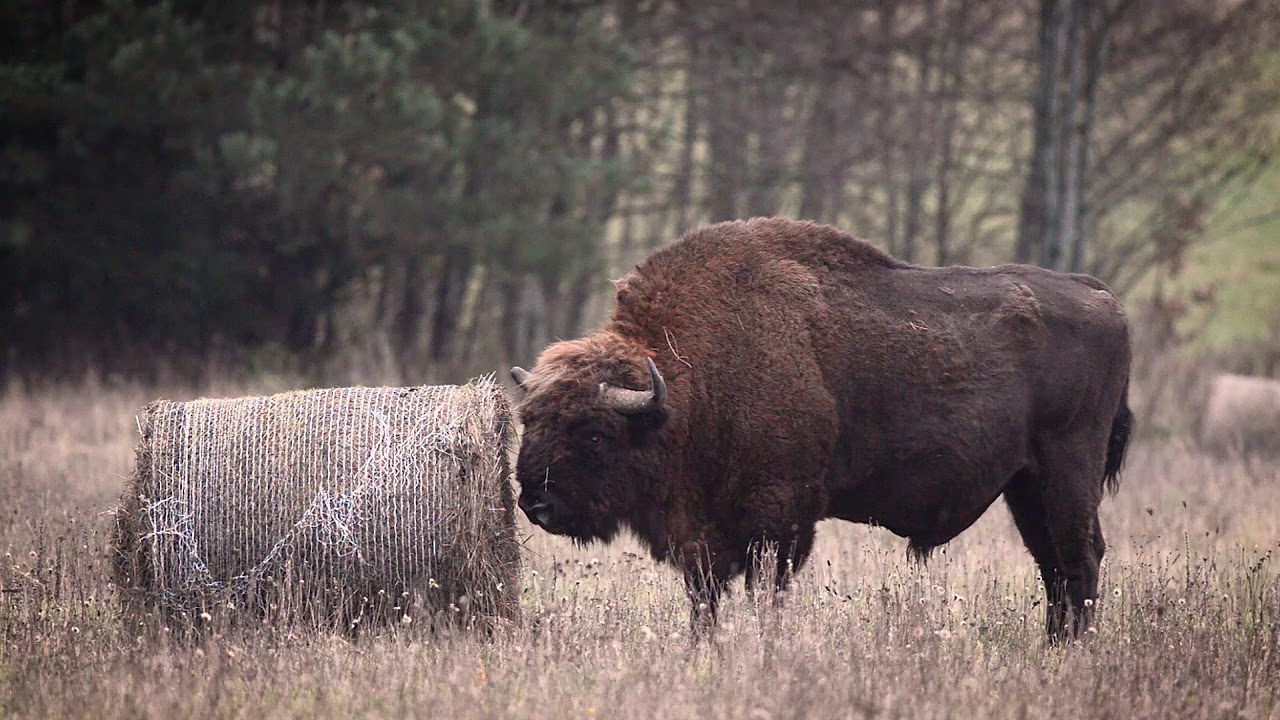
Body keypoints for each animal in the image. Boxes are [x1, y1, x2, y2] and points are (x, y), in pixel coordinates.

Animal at [511, 217, 1133, 642]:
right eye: (530, 420)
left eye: (595, 434)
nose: (534, 502)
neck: (690, 383)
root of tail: (1103, 296)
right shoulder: (703, 538)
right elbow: (703, 599)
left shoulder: (780, 518)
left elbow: (766, 592)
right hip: (1025, 484)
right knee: (1052, 564)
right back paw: (1053, 646)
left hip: (1068, 469)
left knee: (1079, 557)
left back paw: (1073, 649)